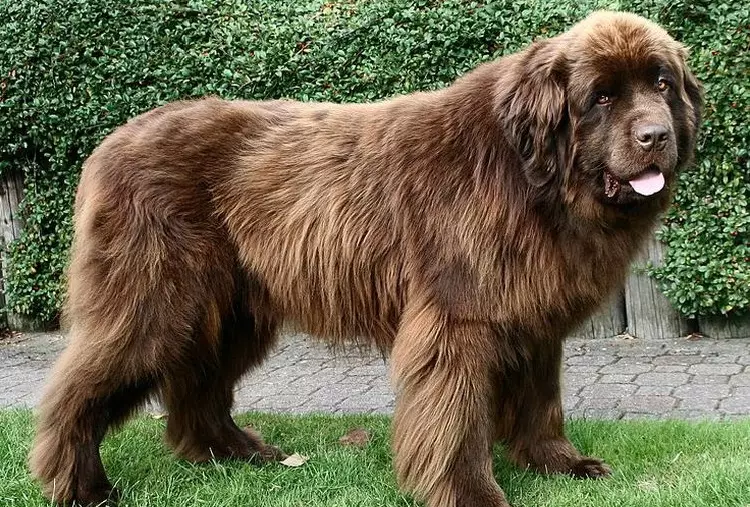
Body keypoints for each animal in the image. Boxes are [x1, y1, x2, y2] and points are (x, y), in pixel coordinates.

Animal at [27, 9, 700, 506]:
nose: (656, 137)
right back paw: (81, 485)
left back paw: (238, 455)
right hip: (155, 303)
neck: (531, 175)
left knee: (198, 386)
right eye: (601, 97)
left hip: (230, 312)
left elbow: (541, 400)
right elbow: (457, 418)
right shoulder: (460, 318)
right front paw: (472, 493)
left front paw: (560, 465)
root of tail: (110, 141)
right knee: (76, 390)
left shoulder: (532, 318)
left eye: (661, 83)